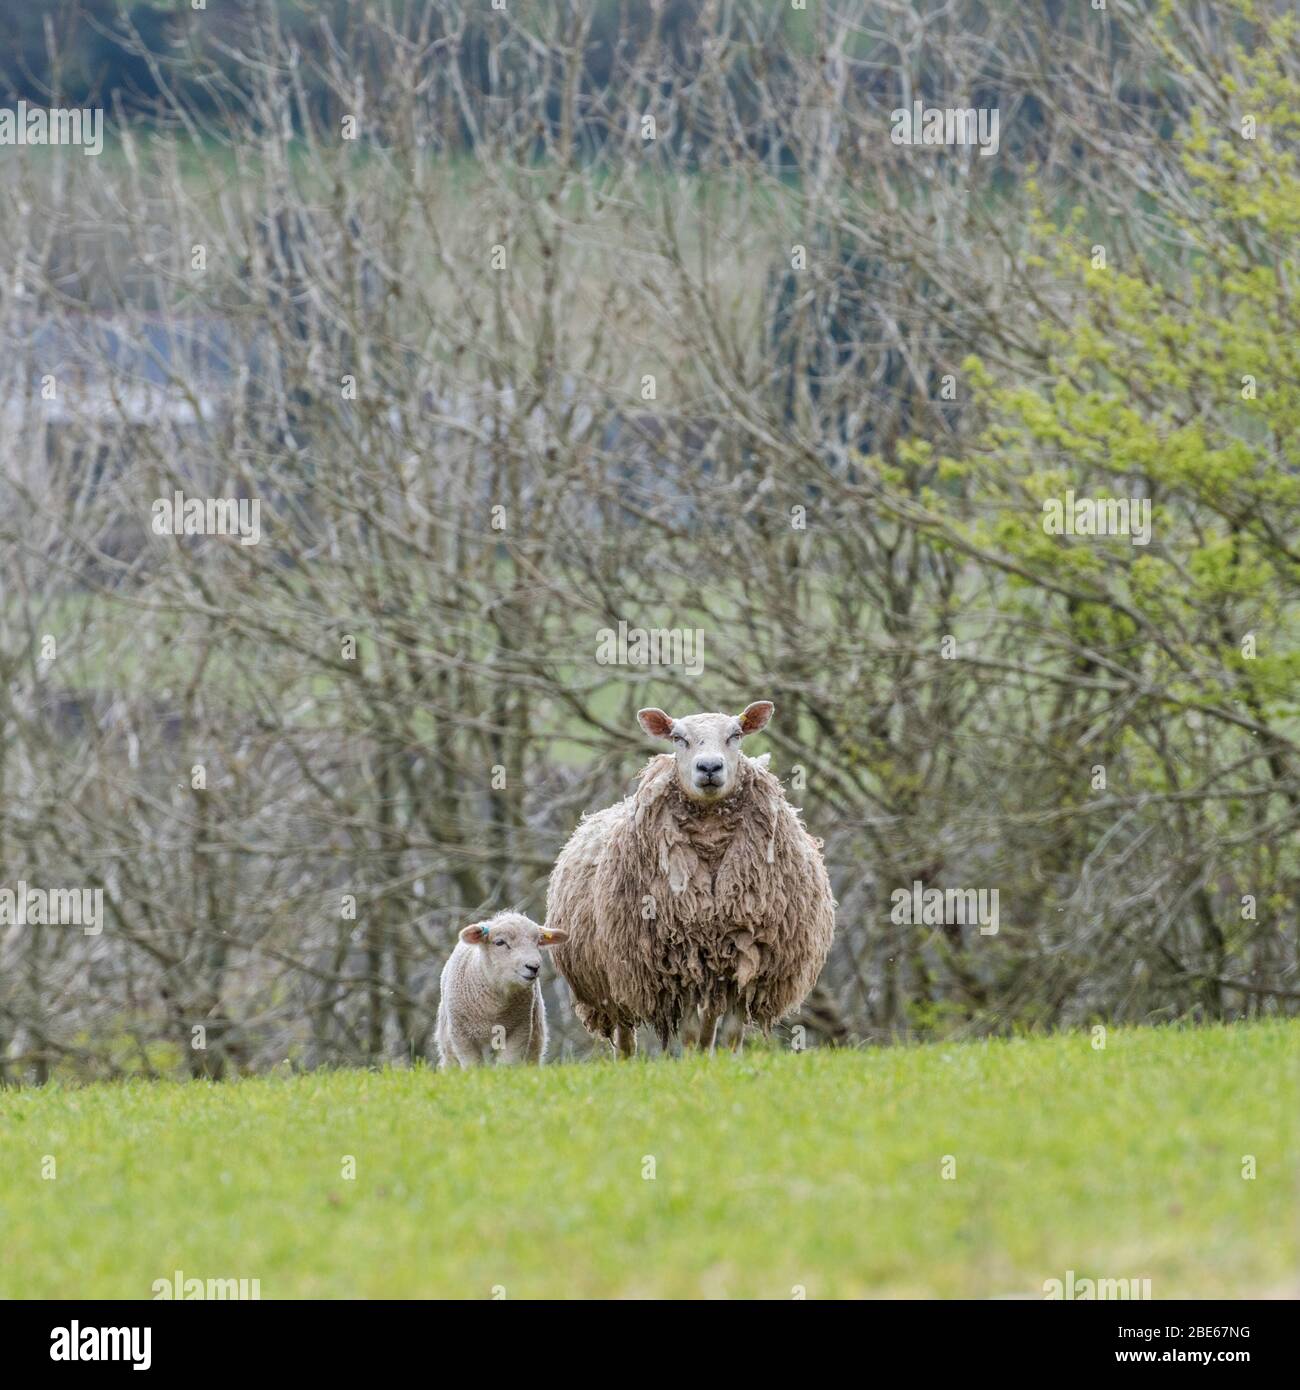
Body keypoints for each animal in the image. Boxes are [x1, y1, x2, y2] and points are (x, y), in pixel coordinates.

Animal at [435, 912, 568, 1068]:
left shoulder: (519, 1031)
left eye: (537, 942)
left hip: (535, 1035)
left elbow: (507, 1064)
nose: (534, 967)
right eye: (499, 942)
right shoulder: (461, 1035)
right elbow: (472, 1066)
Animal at [547, 701, 835, 1055]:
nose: (709, 767)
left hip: (712, 970)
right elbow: (686, 1033)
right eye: (678, 737)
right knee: (626, 1039)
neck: (710, 836)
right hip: (614, 983)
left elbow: (730, 1034)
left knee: (708, 1026)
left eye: (736, 735)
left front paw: (725, 1060)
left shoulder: (746, 959)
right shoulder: (675, 966)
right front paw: (689, 1061)